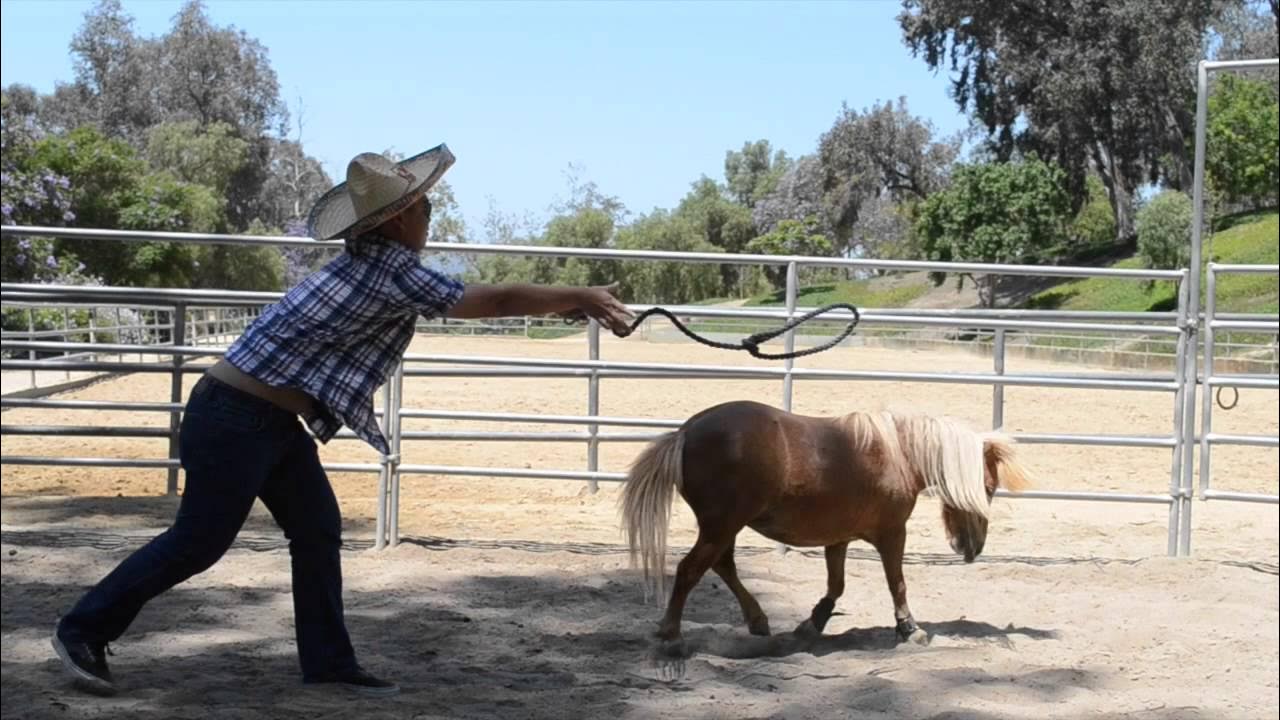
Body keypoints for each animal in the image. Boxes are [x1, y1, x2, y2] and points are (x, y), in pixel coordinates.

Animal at [619, 400, 1031, 652]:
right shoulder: (892, 533)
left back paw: (758, 621)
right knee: (691, 570)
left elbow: (837, 585)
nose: (972, 548)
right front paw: (910, 629)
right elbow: (896, 583)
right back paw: (671, 634)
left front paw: (812, 623)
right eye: (989, 488)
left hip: (725, 527)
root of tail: (686, 433)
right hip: (721, 525)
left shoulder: (839, 539)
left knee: (722, 566)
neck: (897, 455)